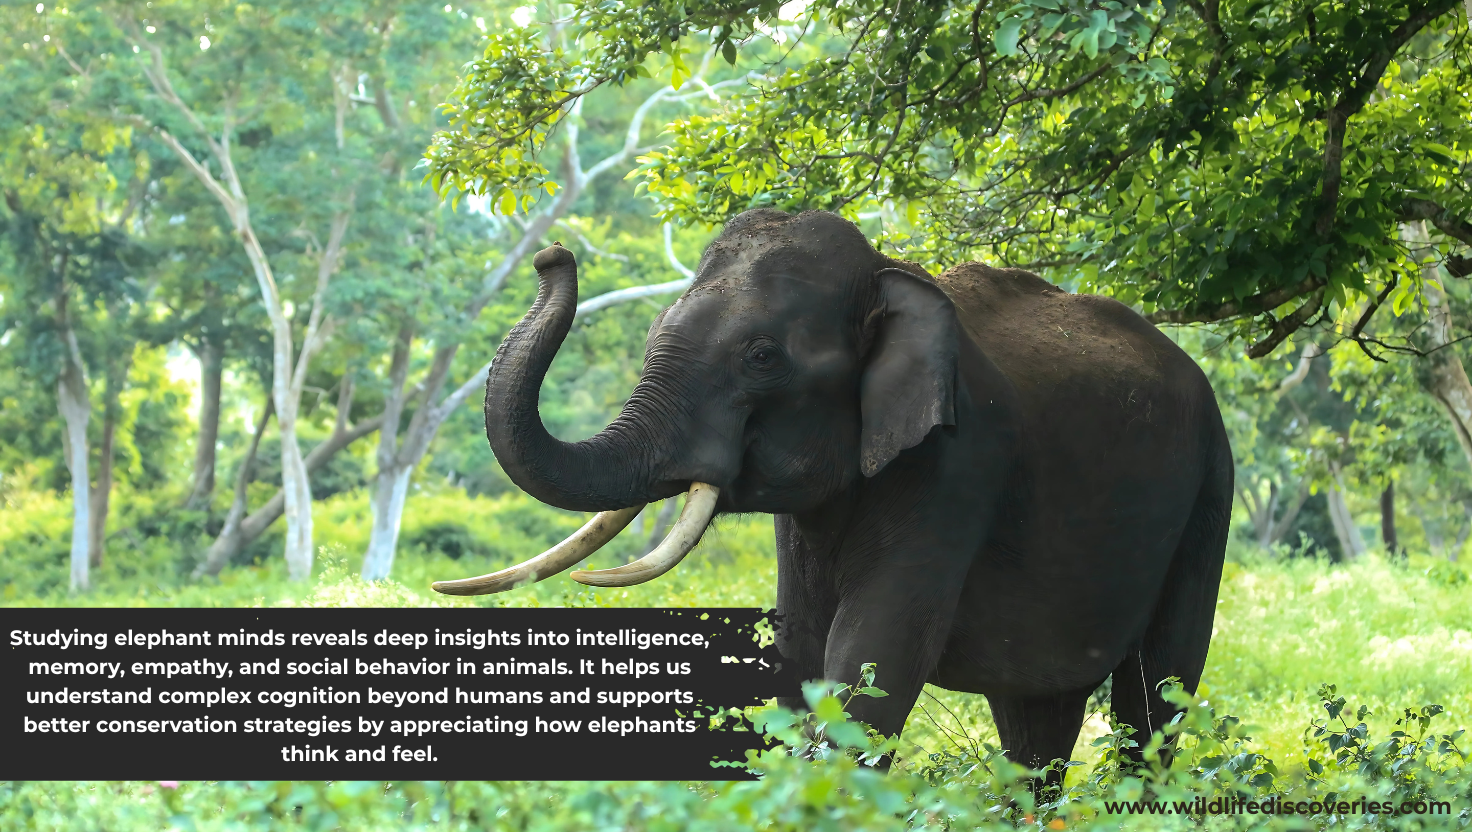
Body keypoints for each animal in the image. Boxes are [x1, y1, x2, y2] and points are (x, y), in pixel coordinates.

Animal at [434, 209, 1232, 781]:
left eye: (761, 357)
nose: (551, 255)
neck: (887, 273)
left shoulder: (957, 464)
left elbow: (874, 656)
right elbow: (801, 648)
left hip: (1209, 489)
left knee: (1157, 692)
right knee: (1037, 718)